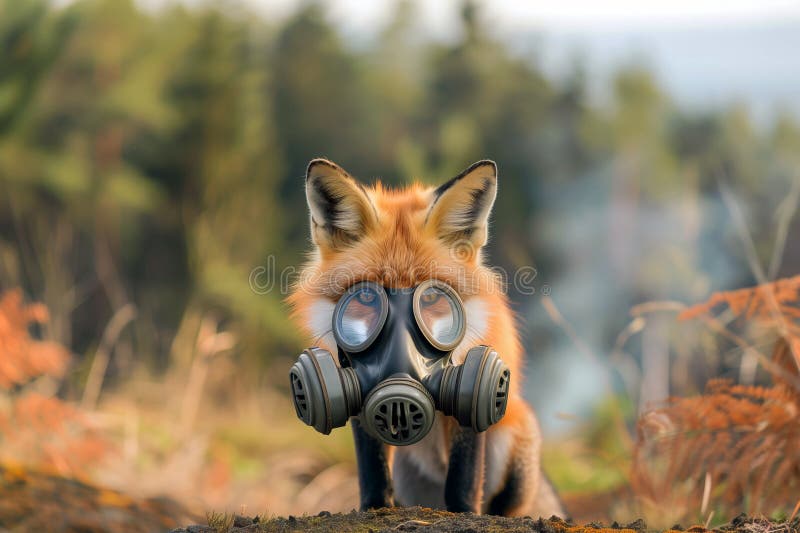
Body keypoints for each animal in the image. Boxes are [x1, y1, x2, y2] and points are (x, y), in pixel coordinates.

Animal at [287, 158, 564, 517]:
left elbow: (464, 476)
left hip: (518, 430)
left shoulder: (471, 385)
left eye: (431, 297)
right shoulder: (352, 382)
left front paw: (463, 514)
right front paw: (374, 509)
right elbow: (372, 468)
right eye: (367, 297)